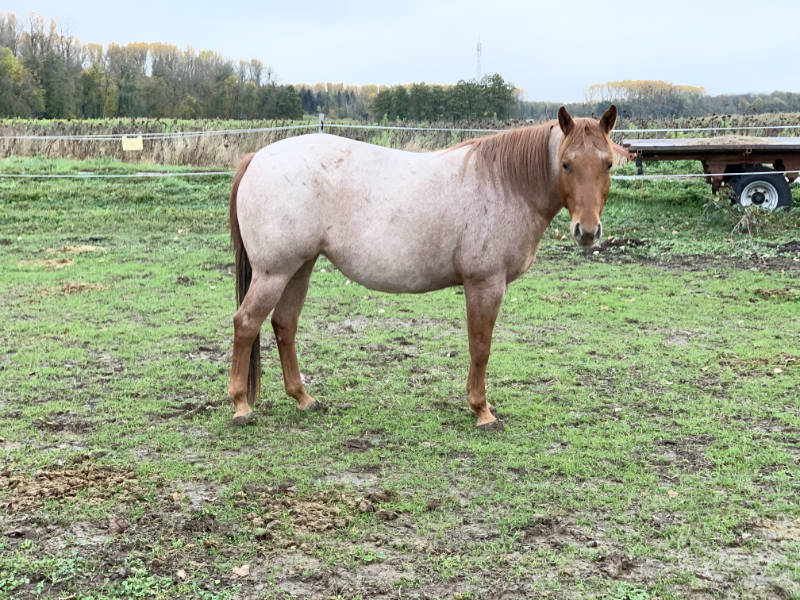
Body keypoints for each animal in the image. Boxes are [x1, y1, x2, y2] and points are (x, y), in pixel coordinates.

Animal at [227, 105, 617, 430]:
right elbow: (481, 347)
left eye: (608, 164)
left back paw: (303, 398)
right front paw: (482, 410)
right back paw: (241, 405)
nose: (587, 231)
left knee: (284, 325)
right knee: (246, 323)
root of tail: (256, 158)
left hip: (300, 267)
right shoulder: (485, 283)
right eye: (566, 163)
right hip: (274, 272)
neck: (504, 183)